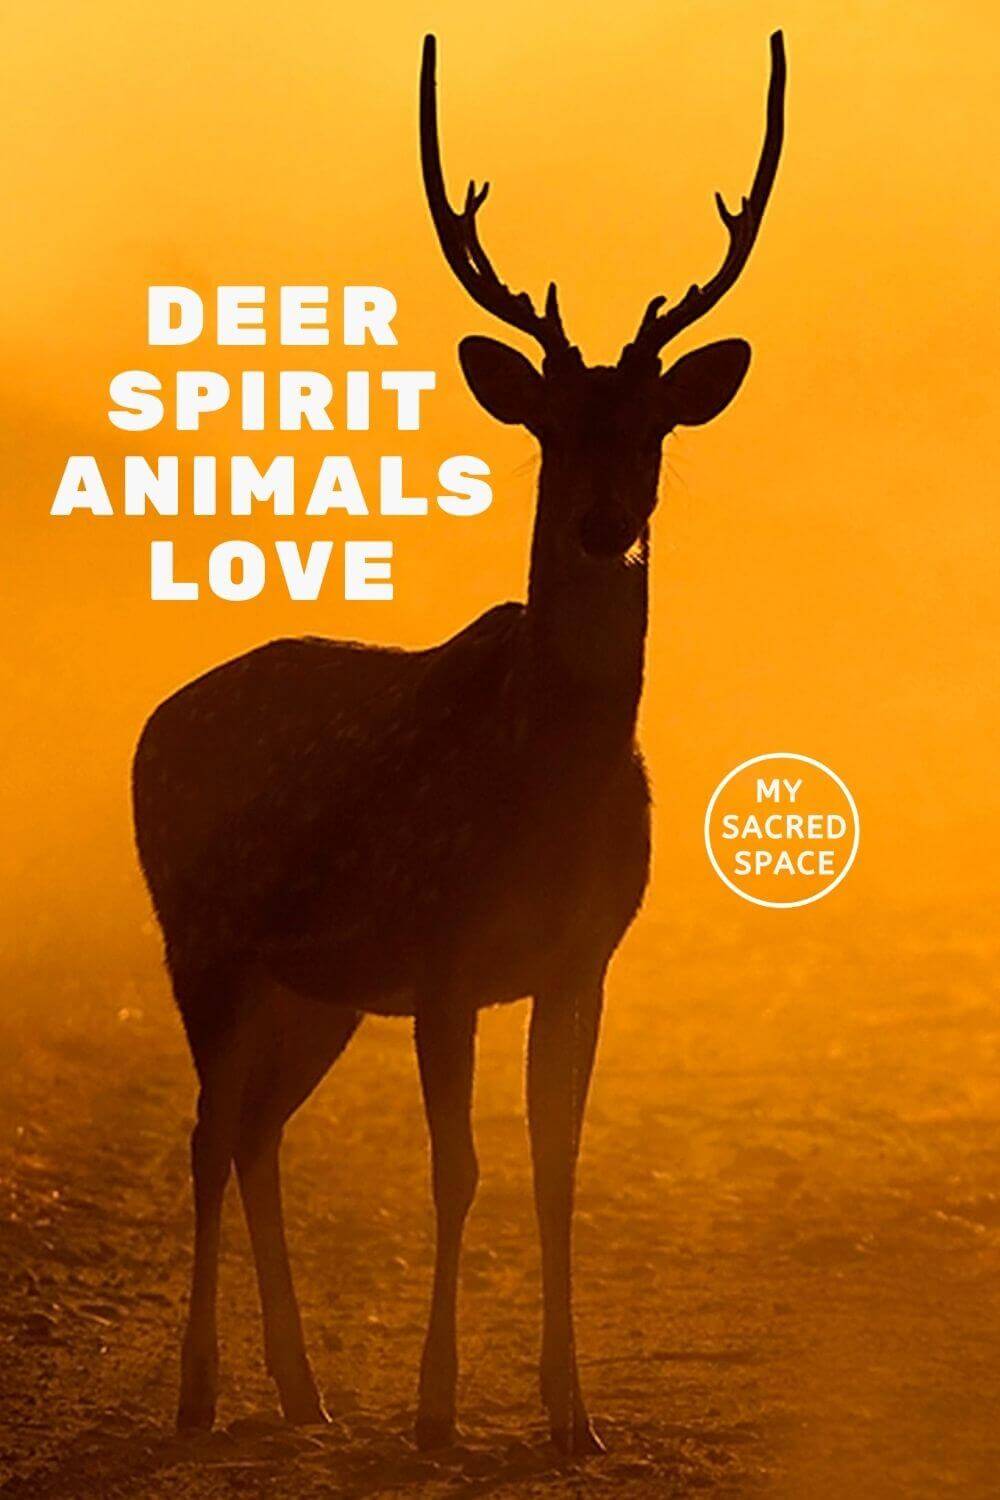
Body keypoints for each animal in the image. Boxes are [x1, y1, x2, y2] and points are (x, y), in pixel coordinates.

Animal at [131, 29, 785, 1456]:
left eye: (652, 426)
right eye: (550, 426)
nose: (603, 523)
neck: (550, 786)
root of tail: (153, 722)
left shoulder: (581, 961)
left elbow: (554, 1168)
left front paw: (572, 1416)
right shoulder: (438, 954)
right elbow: (459, 1169)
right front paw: (435, 1413)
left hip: (312, 986)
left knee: (256, 1133)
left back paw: (306, 1394)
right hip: (202, 937)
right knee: (205, 1133)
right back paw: (202, 1397)